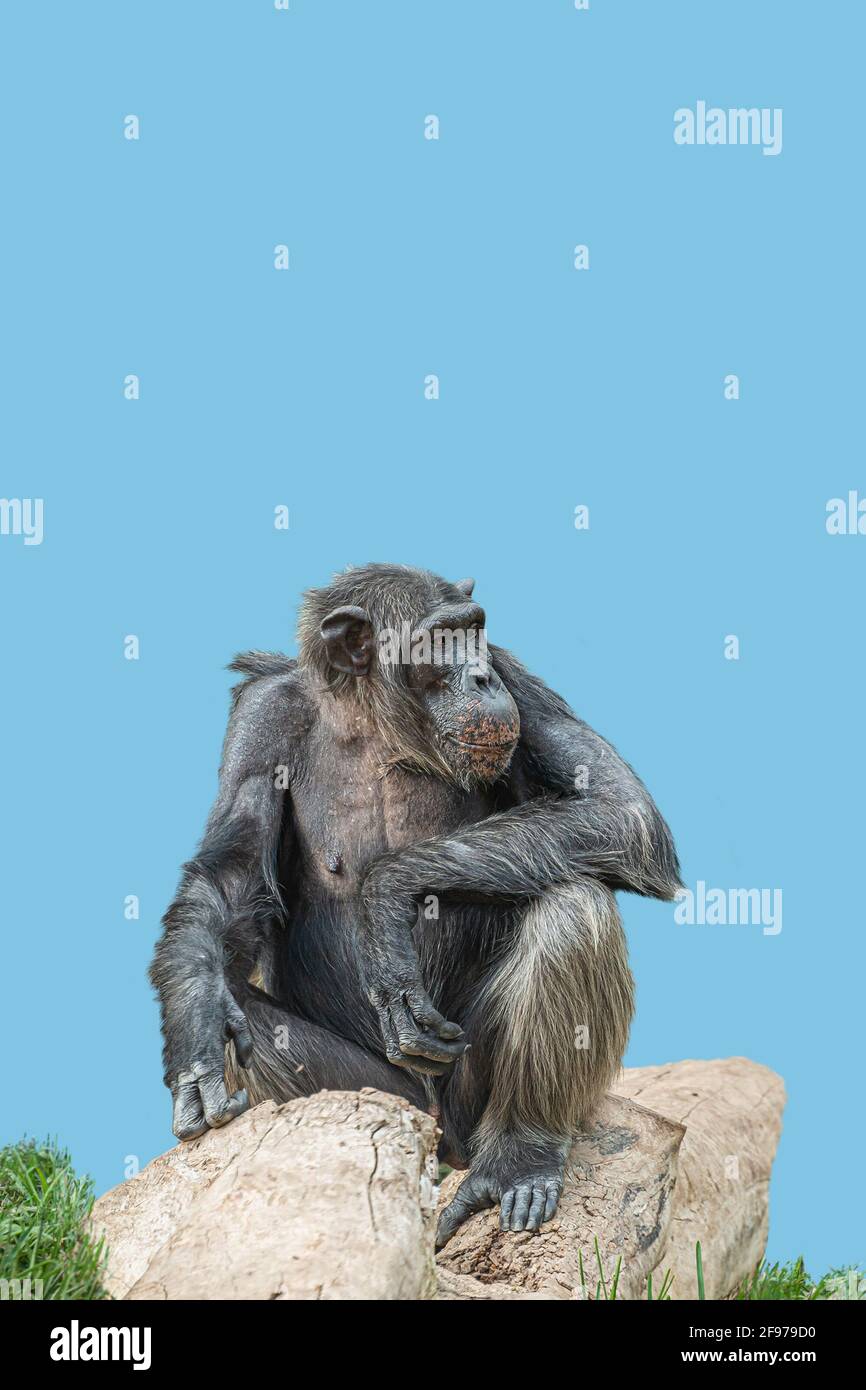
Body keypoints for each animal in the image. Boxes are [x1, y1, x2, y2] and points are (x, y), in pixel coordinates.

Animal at [150, 563, 681, 1245]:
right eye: (442, 639)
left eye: (476, 632)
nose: (479, 674)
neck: (374, 720)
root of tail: (443, 1141)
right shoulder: (259, 722)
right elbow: (230, 878)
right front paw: (193, 1030)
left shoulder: (519, 680)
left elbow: (621, 810)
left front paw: (385, 898)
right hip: (376, 1096)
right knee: (239, 1006)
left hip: (466, 1102)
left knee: (574, 903)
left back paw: (518, 1160)